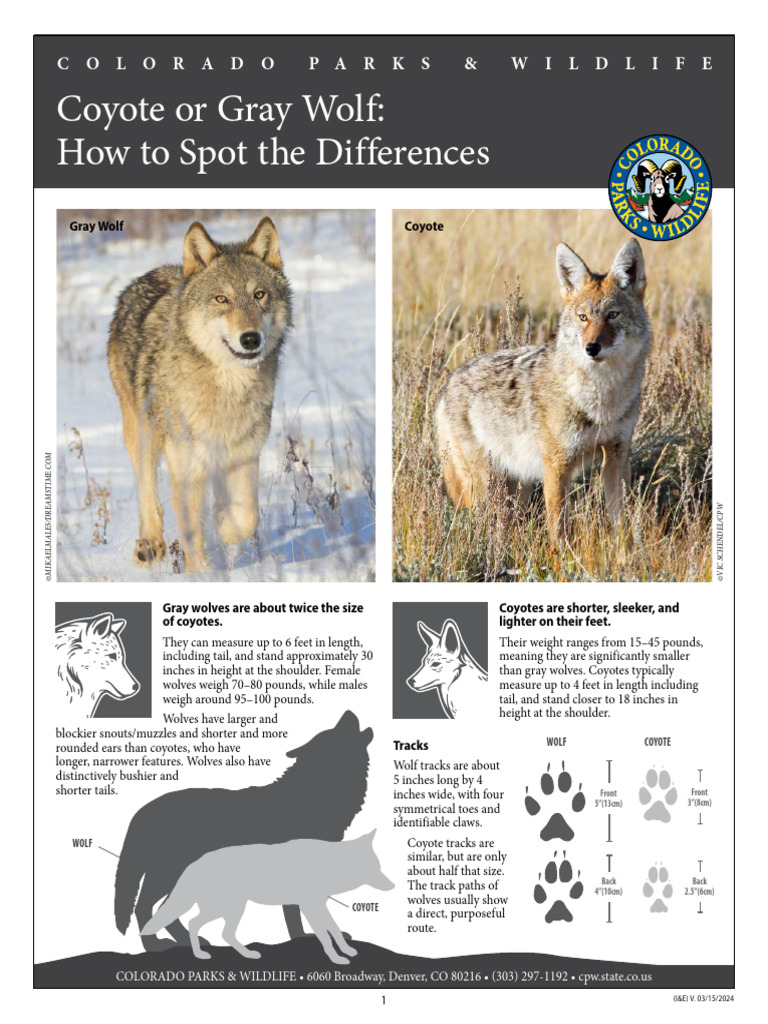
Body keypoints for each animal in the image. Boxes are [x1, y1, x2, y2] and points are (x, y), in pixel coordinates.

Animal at [108, 218, 293, 572]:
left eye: (259, 295)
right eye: (221, 299)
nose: (250, 338)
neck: (228, 391)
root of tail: (152, 273)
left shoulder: (245, 454)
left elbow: (244, 517)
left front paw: (224, 525)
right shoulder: (186, 465)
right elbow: (193, 533)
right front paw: (201, 574)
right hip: (141, 433)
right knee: (147, 491)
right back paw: (149, 545)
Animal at [115, 711, 372, 950]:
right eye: (338, 730)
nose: (348, 712)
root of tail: (142, 811)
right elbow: (294, 911)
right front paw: (303, 937)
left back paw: (186, 941)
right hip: (168, 873)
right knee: (145, 907)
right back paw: (153, 945)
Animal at [141, 832, 394, 964]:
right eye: (376, 868)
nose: (393, 886)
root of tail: (195, 863)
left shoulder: (319, 905)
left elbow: (334, 928)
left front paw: (347, 951)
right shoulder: (310, 906)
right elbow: (324, 934)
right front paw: (336, 958)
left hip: (230, 910)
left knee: (217, 931)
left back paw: (239, 954)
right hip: (229, 909)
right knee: (201, 925)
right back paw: (206, 954)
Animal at [436, 239, 650, 543]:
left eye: (612, 315)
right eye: (583, 317)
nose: (591, 348)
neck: (601, 401)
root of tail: (448, 383)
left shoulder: (617, 455)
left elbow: (623, 523)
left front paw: (625, 554)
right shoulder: (557, 464)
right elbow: (558, 529)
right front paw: (561, 556)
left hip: (516, 488)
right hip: (483, 488)